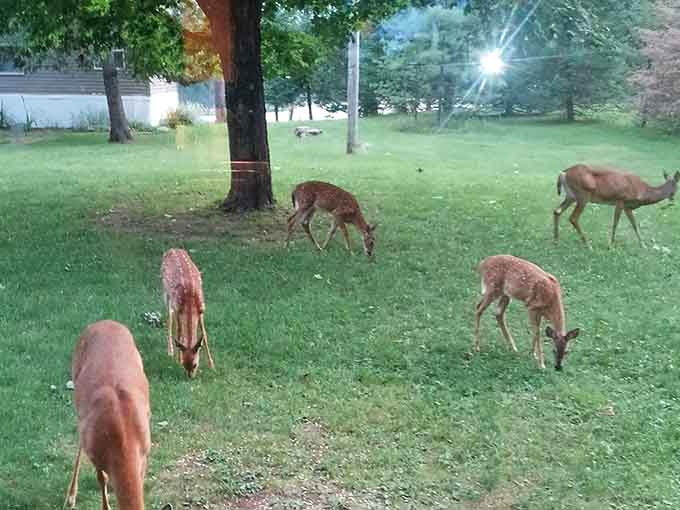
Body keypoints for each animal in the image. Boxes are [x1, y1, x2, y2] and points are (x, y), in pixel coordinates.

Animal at [65, 320, 169, 510]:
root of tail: (104, 322)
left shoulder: (144, 453)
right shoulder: (96, 454)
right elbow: (101, 479)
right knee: (80, 441)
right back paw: (71, 496)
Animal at [161, 248, 214, 377]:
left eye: (195, 364)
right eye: (184, 365)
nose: (190, 377)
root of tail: (172, 249)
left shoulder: (201, 309)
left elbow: (204, 334)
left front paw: (212, 364)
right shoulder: (178, 308)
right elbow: (179, 332)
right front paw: (178, 358)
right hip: (166, 293)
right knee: (169, 318)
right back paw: (170, 351)